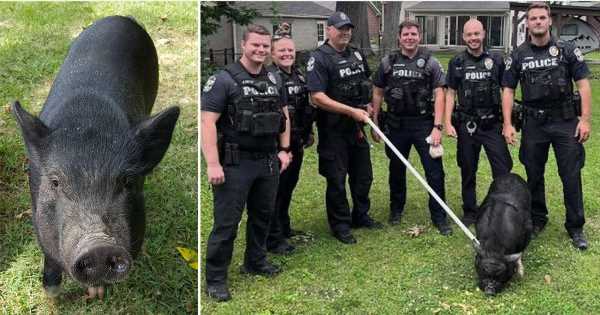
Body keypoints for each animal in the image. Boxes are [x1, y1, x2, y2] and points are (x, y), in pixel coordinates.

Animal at [12, 16, 178, 298]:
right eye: (55, 182)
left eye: (128, 181)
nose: (99, 246)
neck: (88, 121)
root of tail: (123, 17)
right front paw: (52, 296)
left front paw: (96, 294)